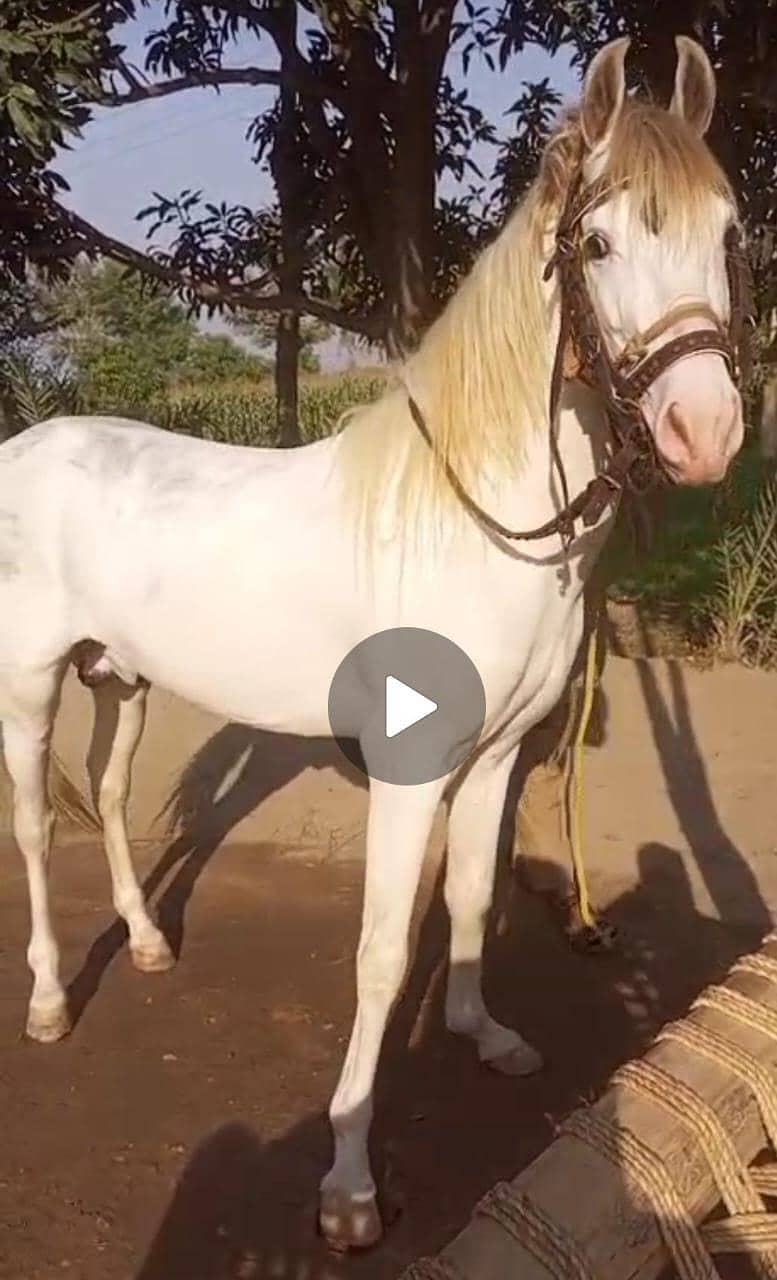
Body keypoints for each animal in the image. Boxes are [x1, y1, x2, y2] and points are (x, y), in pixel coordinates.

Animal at [0, 35, 748, 1250]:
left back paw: (150, 945)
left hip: (126, 680)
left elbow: (474, 899)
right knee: (29, 827)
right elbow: (383, 952)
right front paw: (349, 1188)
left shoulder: (493, 760)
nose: (705, 431)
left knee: (106, 797)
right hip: (28, 686)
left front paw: (486, 1036)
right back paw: (54, 1003)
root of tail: (27, 446)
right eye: (597, 242)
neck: (472, 526)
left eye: (726, 232)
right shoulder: (409, 775)